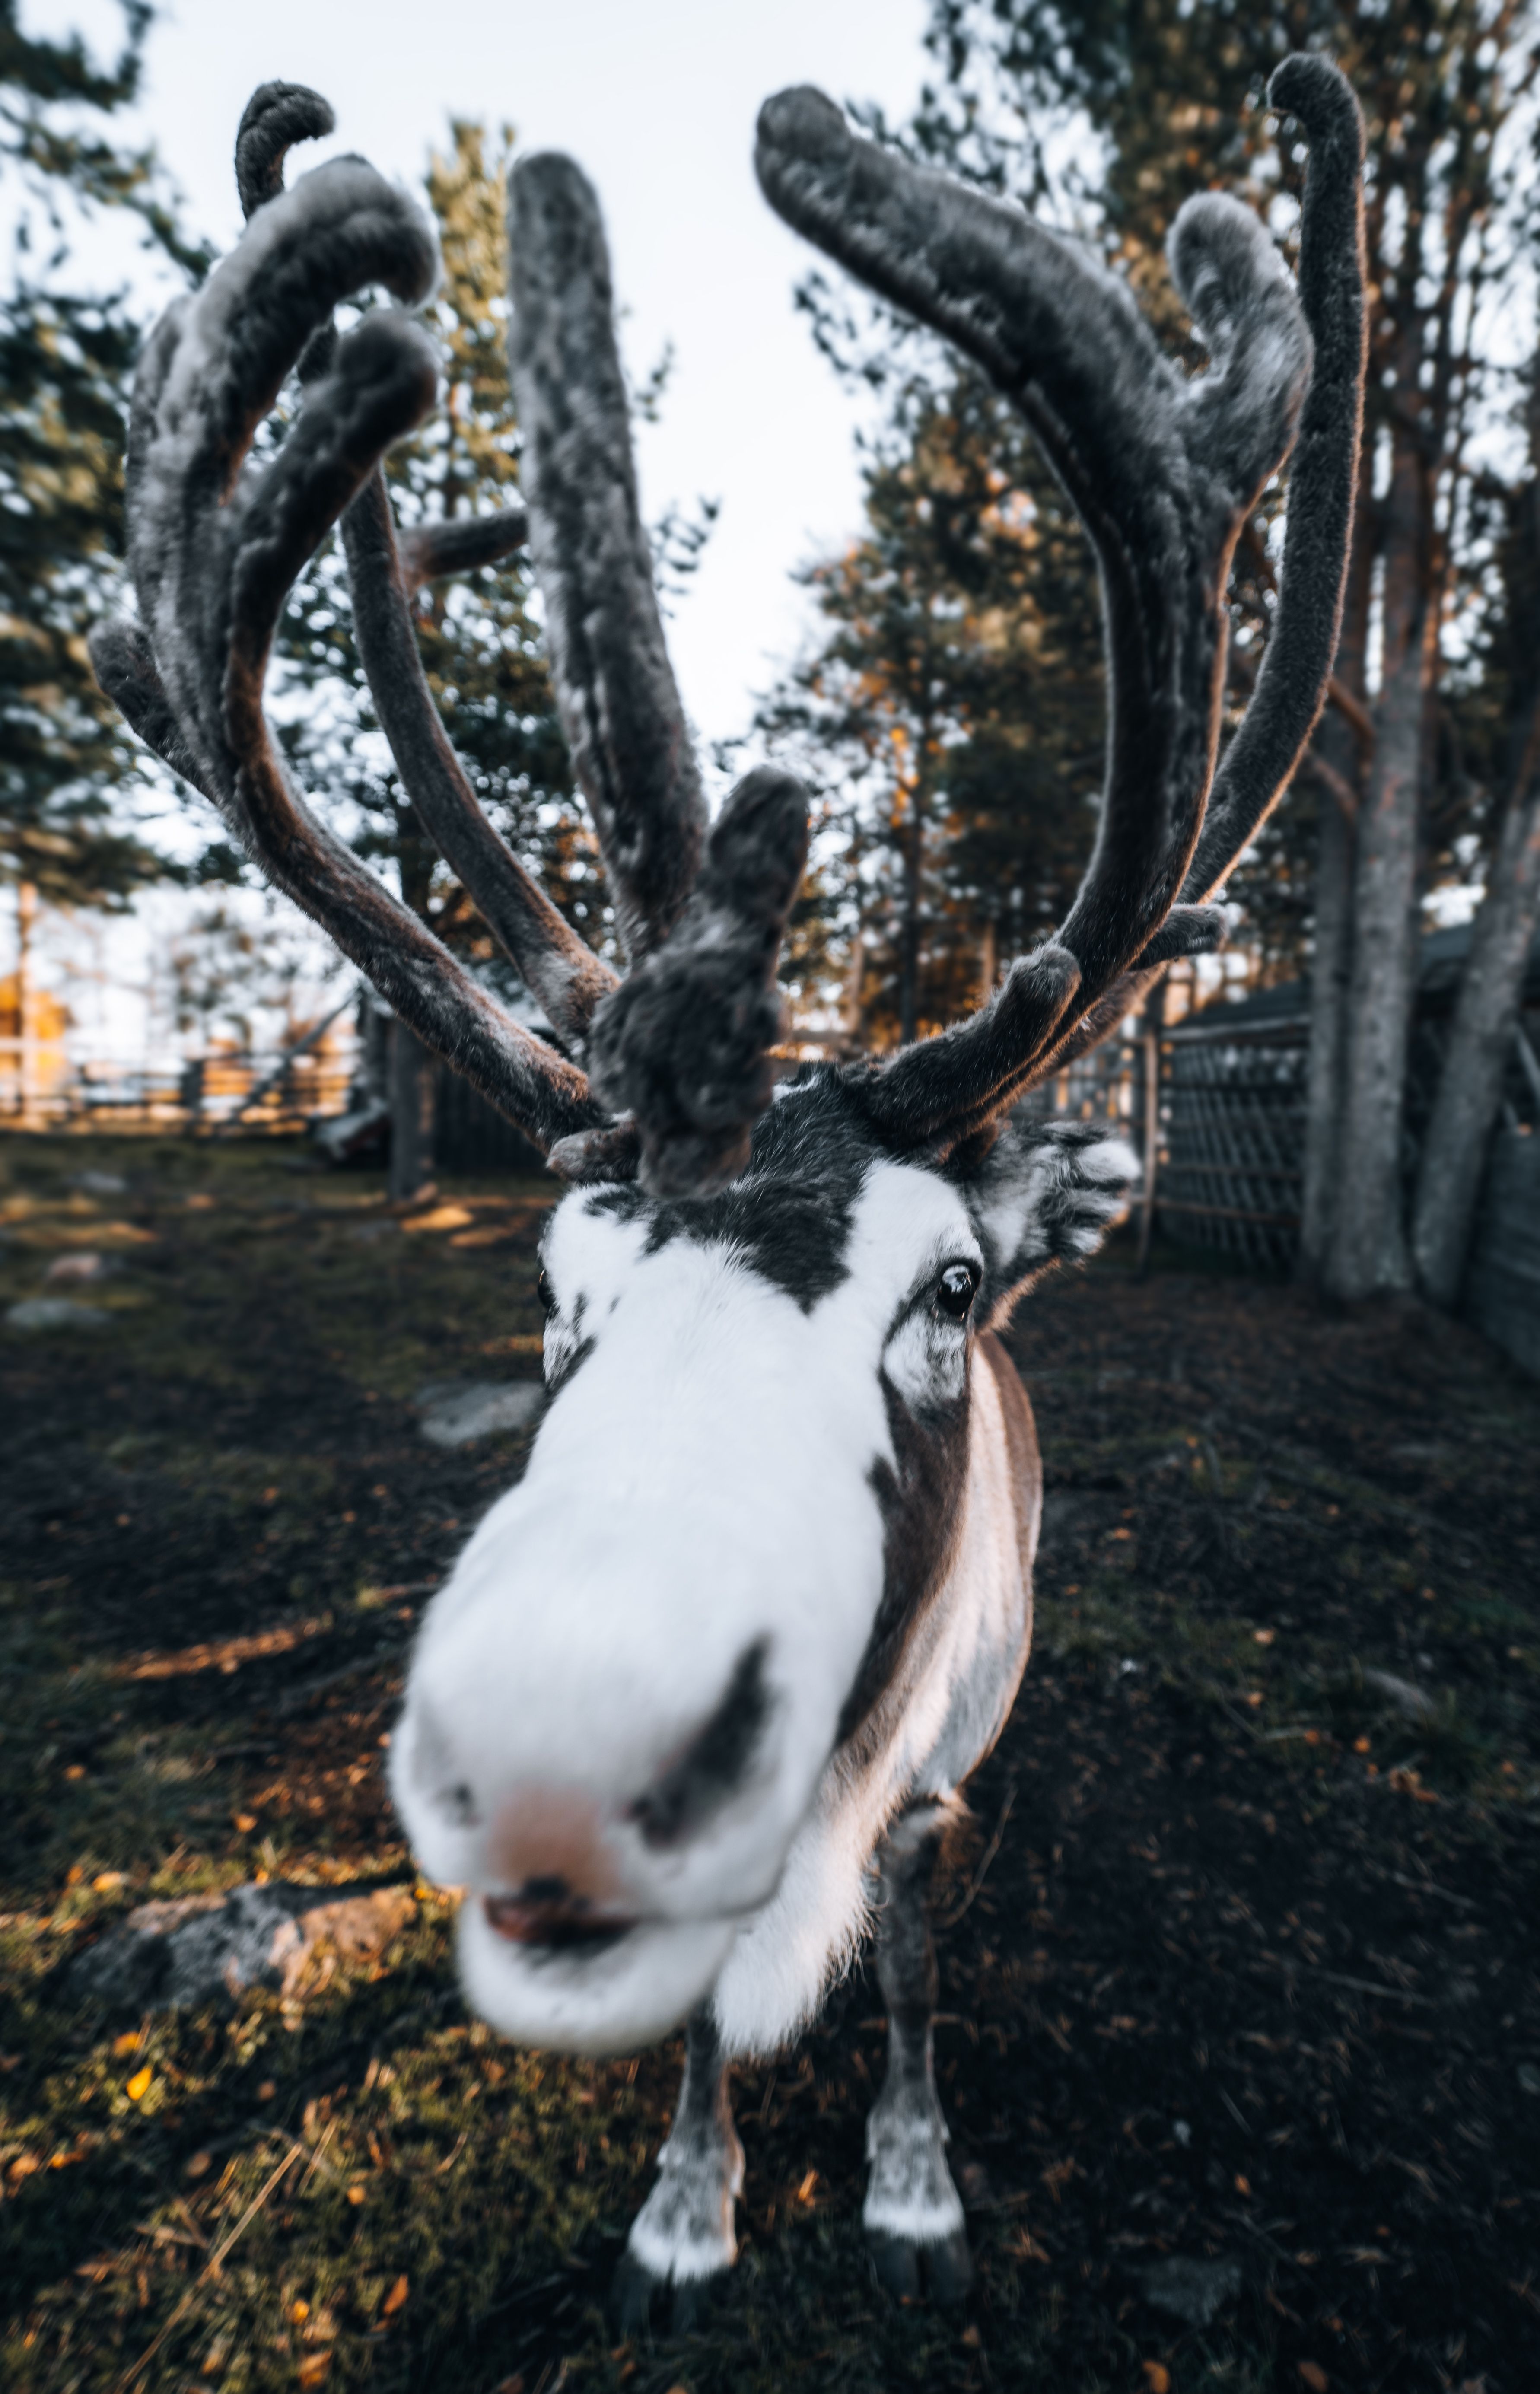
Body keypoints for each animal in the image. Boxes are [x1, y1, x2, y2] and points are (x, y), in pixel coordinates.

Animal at [92, 57, 1365, 2324]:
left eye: (950, 1291)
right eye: (552, 1288)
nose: (559, 1759)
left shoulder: (940, 1774)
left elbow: (918, 1967)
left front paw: (914, 2180)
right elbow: (694, 2030)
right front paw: (689, 2198)